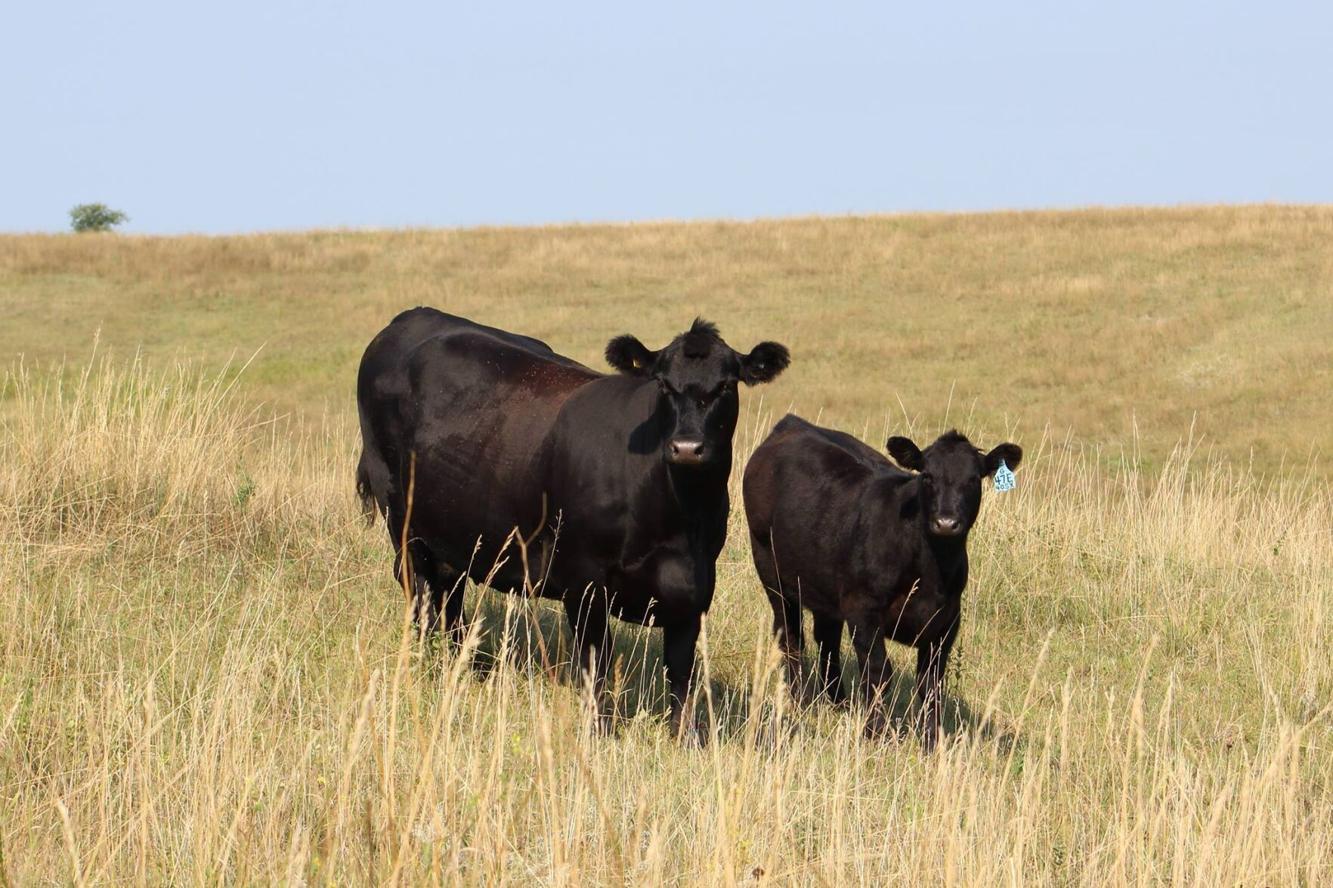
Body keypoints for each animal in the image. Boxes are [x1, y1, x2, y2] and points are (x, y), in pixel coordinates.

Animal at [356, 308, 790, 739]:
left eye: (726, 386)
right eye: (664, 385)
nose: (686, 447)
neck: (679, 513)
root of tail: (412, 317)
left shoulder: (695, 588)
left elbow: (681, 675)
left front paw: (685, 739)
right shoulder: (585, 584)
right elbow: (596, 665)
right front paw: (599, 733)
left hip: (457, 533)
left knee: (450, 592)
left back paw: (465, 667)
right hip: (403, 522)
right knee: (421, 592)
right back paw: (428, 661)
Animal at [742, 415, 1021, 749]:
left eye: (973, 479)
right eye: (927, 476)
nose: (946, 522)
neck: (930, 569)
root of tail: (791, 423)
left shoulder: (947, 621)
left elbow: (930, 683)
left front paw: (932, 741)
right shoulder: (863, 609)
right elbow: (878, 672)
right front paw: (874, 733)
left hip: (826, 585)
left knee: (827, 639)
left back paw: (837, 702)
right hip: (772, 570)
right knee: (791, 634)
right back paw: (802, 699)